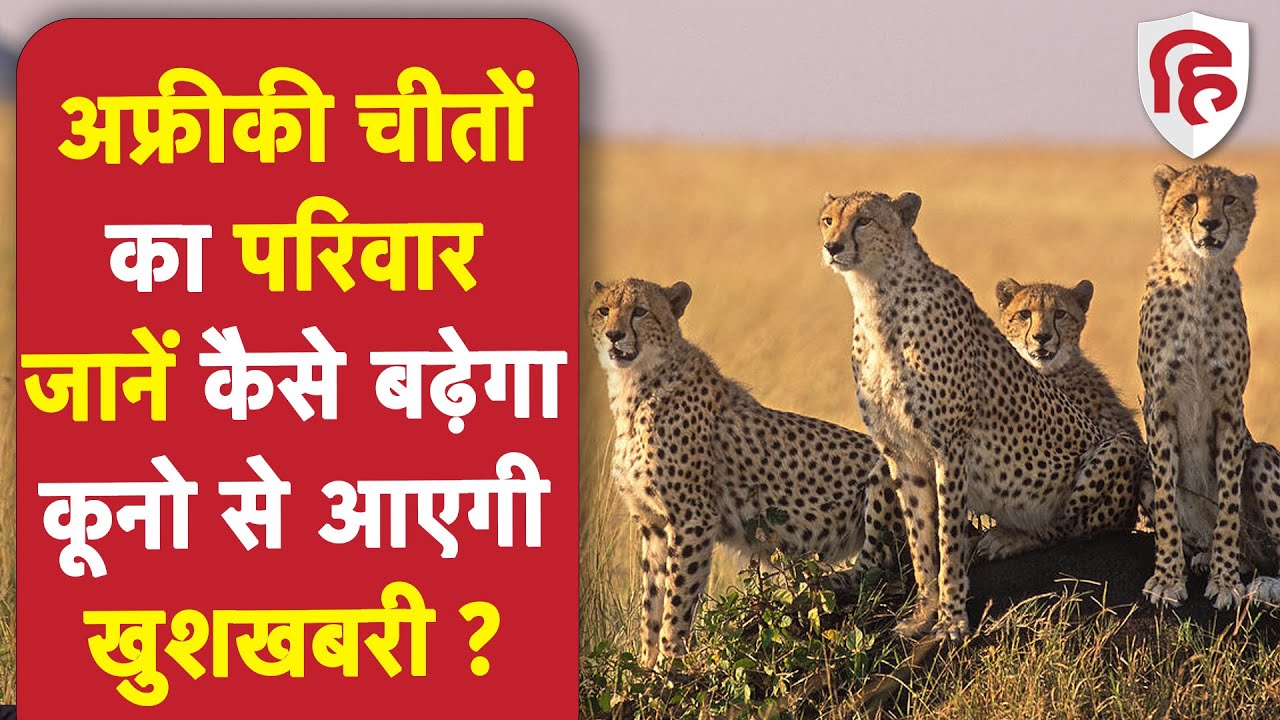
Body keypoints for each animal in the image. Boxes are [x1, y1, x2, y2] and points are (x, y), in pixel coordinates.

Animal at [588, 277, 895, 666]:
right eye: (604, 310)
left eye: (640, 311)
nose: (614, 335)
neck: (634, 387)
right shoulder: (653, 524)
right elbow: (652, 601)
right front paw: (646, 665)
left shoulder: (693, 519)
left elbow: (678, 599)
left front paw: (670, 662)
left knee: (880, 571)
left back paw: (821, 586)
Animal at [819, 190, 1138, 640]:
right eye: (827, 220)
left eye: (864, 220)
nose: (832, 247)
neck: (877, 296)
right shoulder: (902, 453)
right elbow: (921, 541)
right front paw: (923, 612)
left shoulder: (950, 448)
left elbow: (948, 538)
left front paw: (952, 618)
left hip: (1117, 451)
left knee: (1065, 527)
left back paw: (1010, 537)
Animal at [1138, 163, 1280, 610]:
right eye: (1189, 199)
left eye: (1229, 199)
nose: (1210, 223)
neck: (1198, 277)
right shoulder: (1159, 406)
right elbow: (1167, 504)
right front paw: (1168, 578)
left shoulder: (1230, 408)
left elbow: (1229, 507)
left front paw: (1226, 580)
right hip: (1140, 475)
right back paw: (1199, 556)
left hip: (1264, 456)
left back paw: (1259, 580)